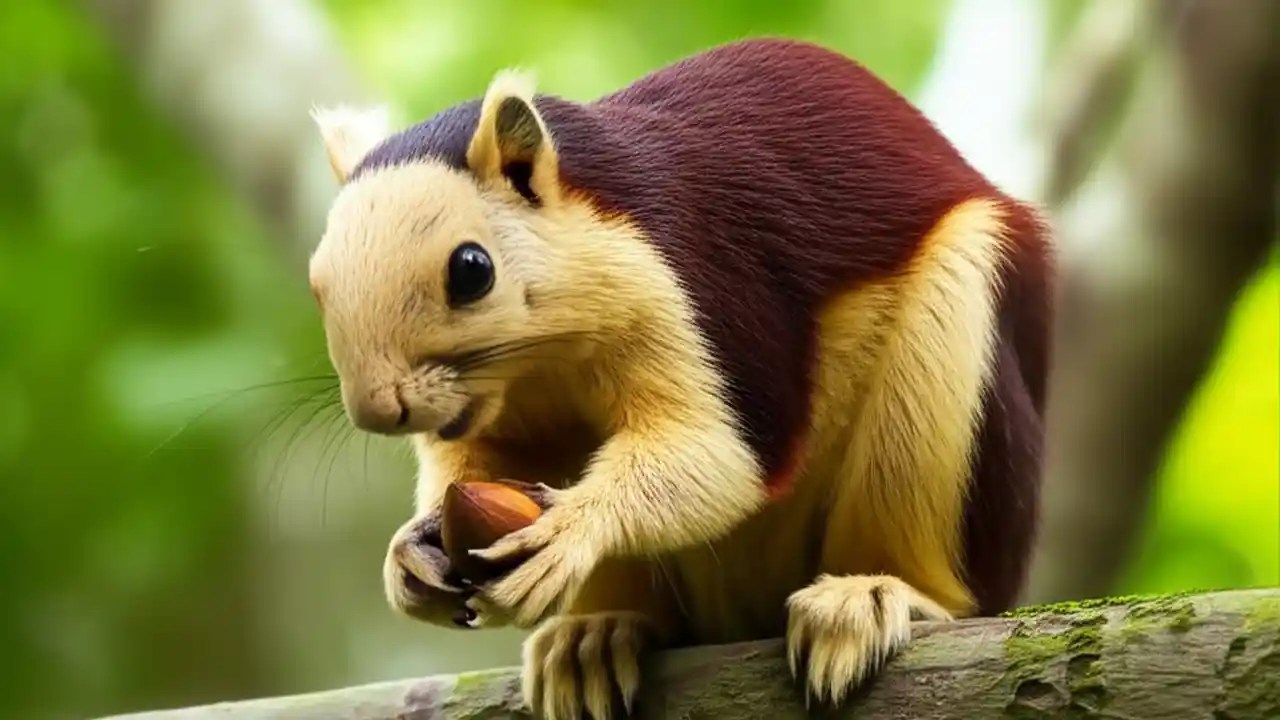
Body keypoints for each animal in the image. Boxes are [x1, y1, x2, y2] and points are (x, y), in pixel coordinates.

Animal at [309, 37, 1053, 719]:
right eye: (317, 283)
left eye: (471, 269)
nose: (378, 410)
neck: (540, 363)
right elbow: (472, 466)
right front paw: (409, 552)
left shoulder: (704, 292)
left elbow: (722, 455)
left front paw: (572, 527)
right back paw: (593, 637)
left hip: (955, 347)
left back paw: (871, 595)